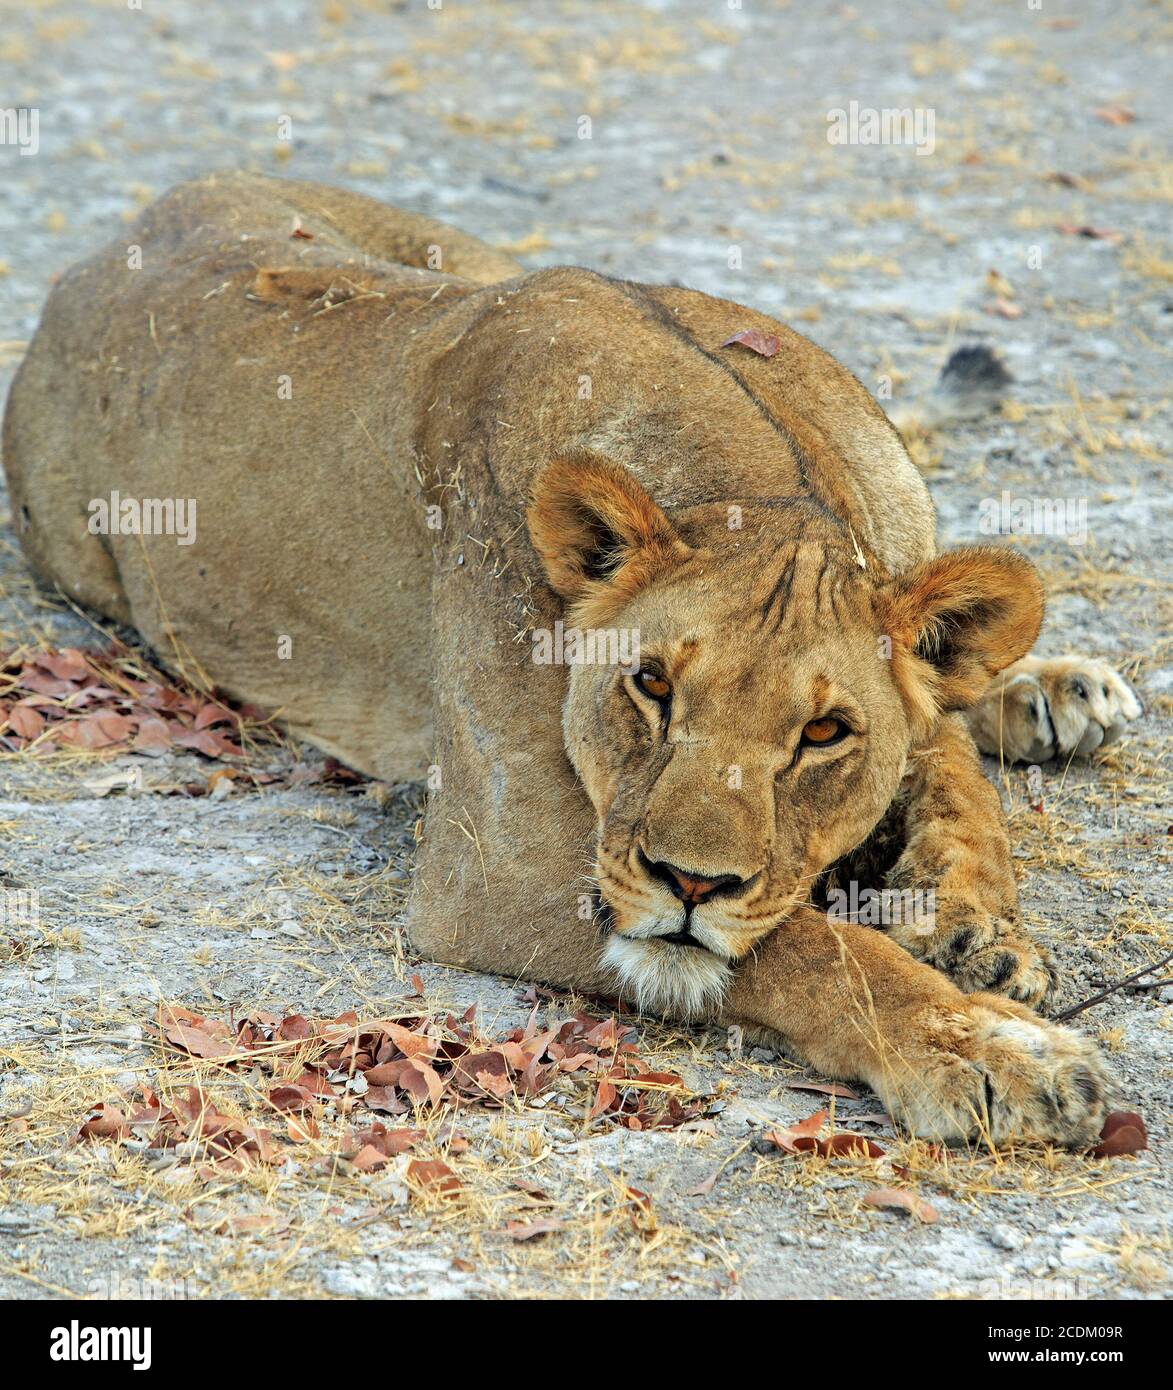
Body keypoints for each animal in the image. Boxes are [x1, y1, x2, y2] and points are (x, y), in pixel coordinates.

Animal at [3, 172, 1143, 1147]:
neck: (768, 481)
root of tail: (118, 238)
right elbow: (810, 945)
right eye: (651, 685)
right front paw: (991, 1047)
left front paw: (972, 929)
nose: (691, 880)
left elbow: (948, 770)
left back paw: (1052, 687)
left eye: (824, 732)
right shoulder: (498, 870)